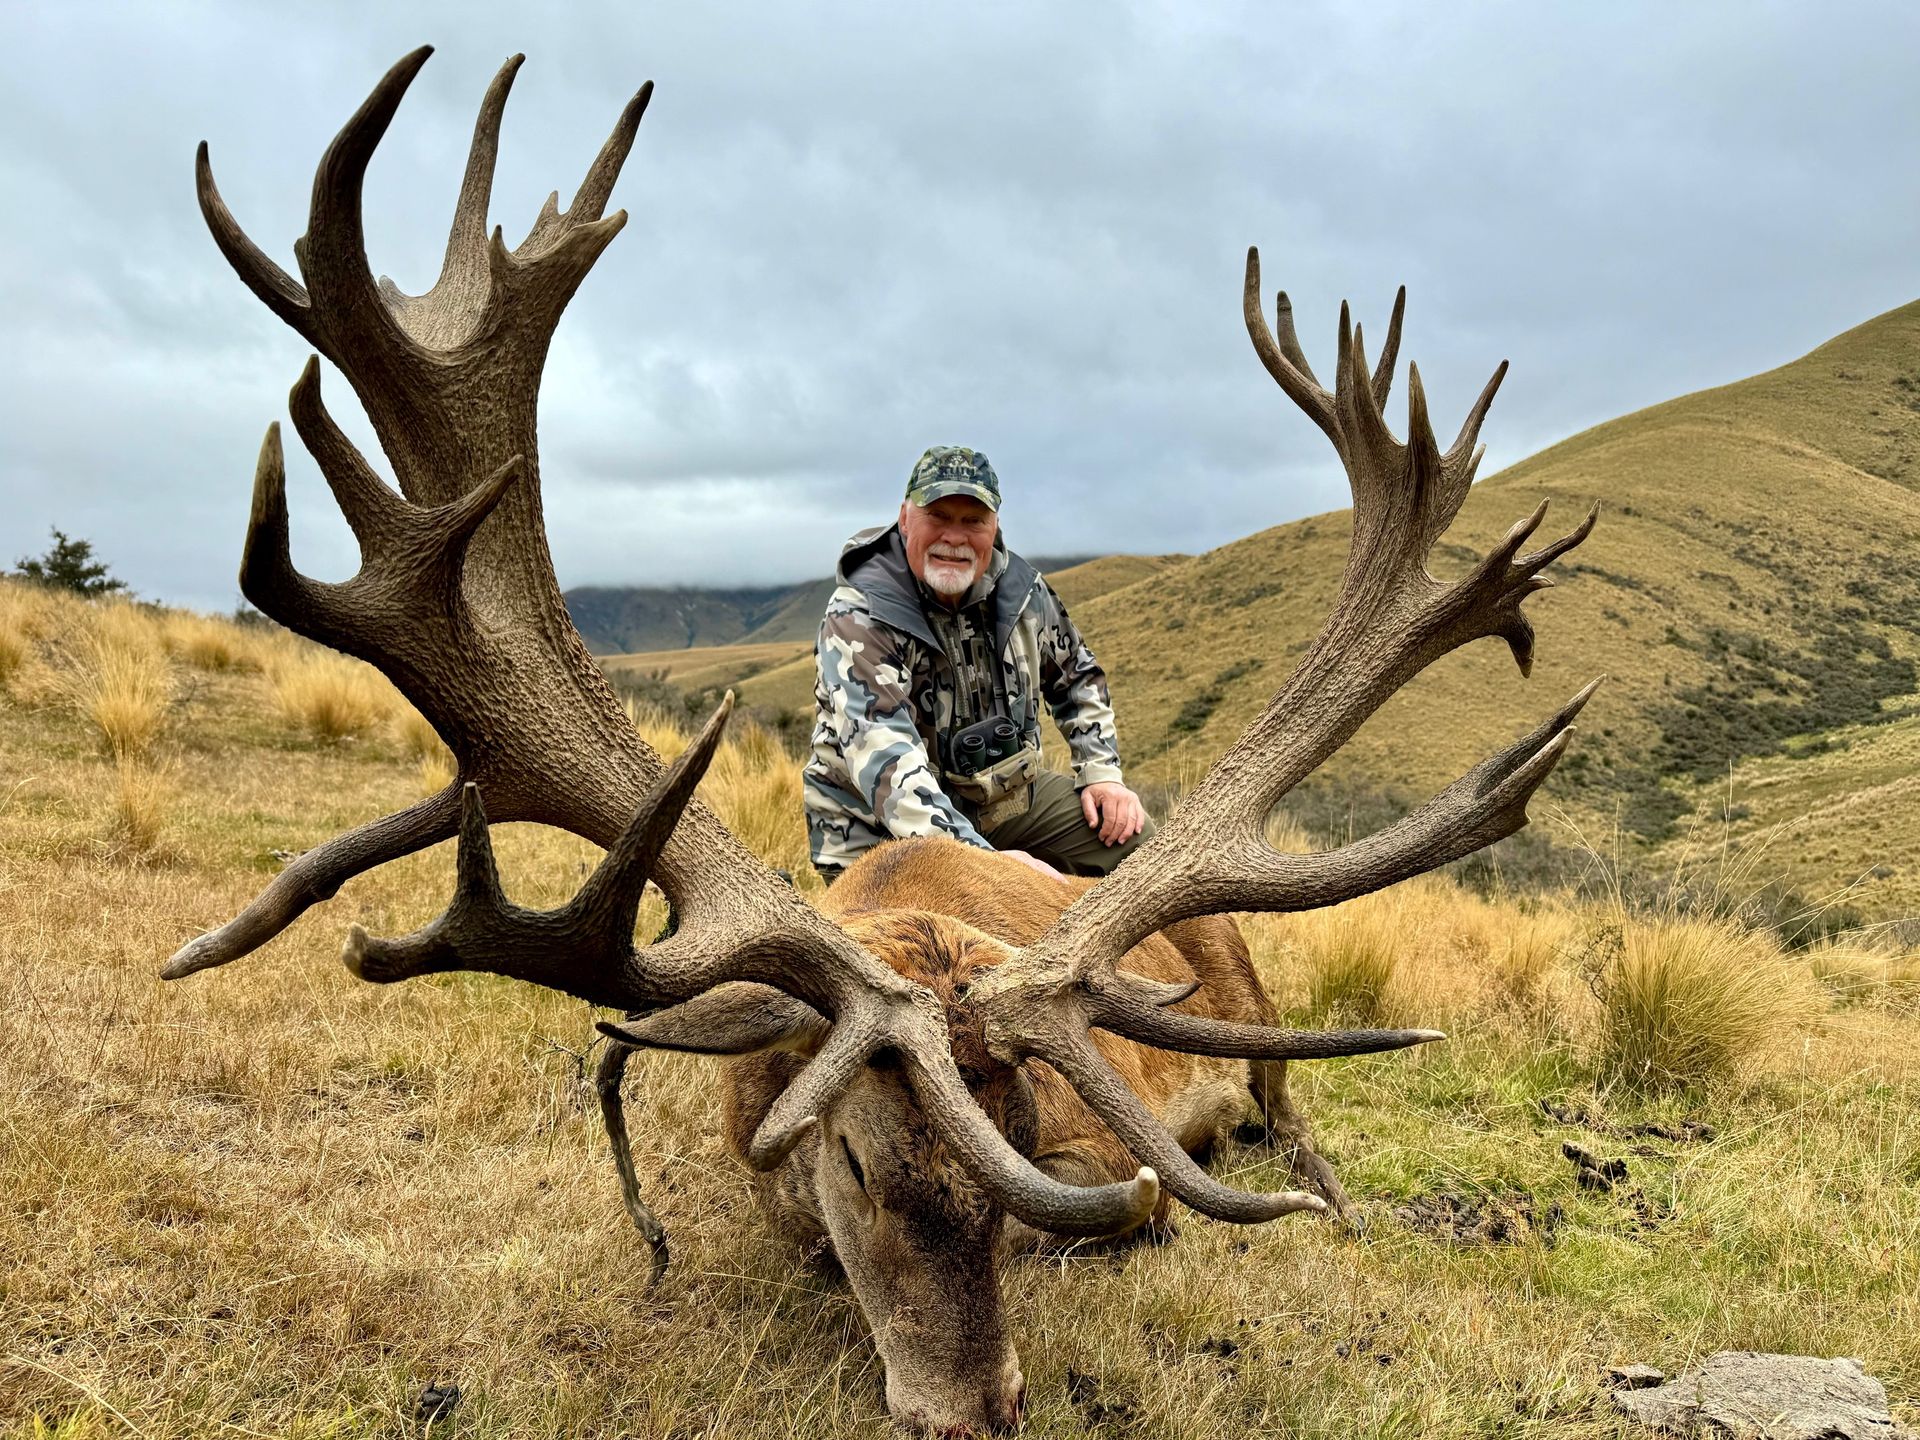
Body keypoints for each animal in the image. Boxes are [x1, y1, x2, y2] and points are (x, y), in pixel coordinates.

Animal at [171, 48, 1597, 1435]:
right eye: (850, 1159)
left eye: (1013, 1142)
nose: (975, 1413)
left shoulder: (1112, 1147)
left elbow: (1128, 1202)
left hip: (1251, 998)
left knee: (1293, 1115)